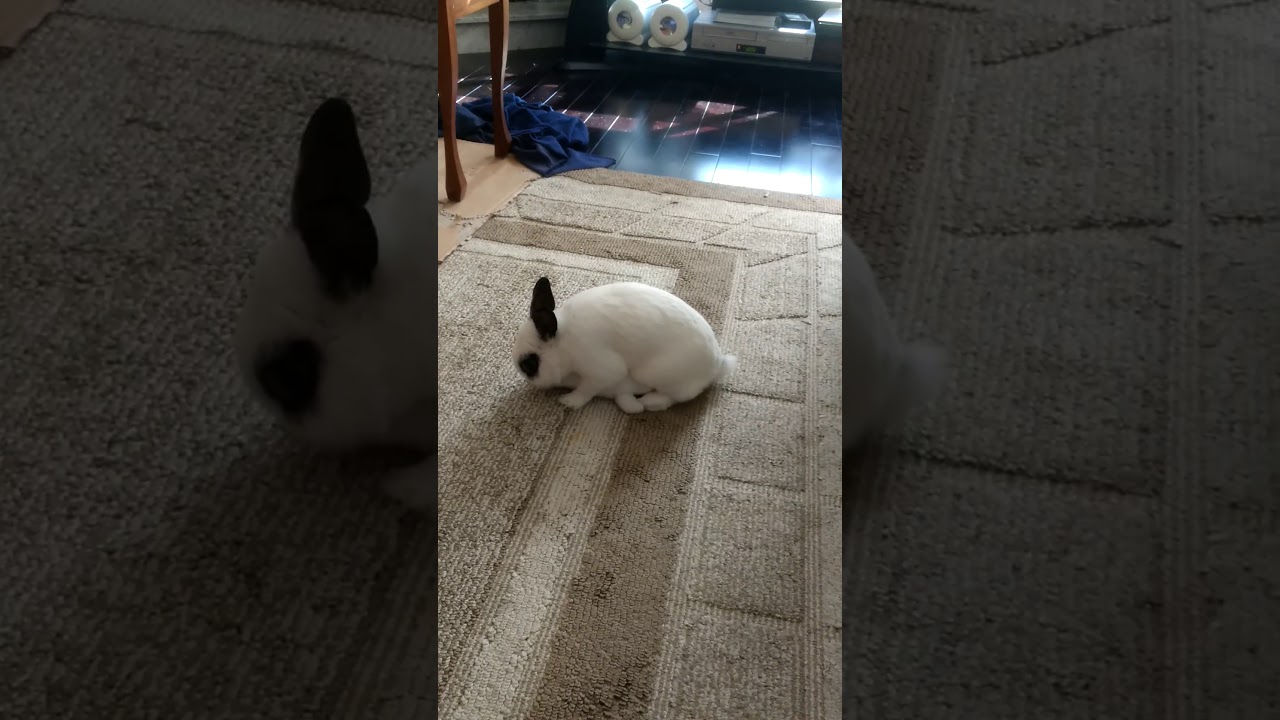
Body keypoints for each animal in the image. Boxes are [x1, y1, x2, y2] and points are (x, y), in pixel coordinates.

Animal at [512, 277, 737, 413]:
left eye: (530, 363)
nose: (529, 380)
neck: (565, 343)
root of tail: (717, 364)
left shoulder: (601, 368)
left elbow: (587, 389)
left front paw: (569, 401)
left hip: (657, 374)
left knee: (676, 397)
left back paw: (648, 402)